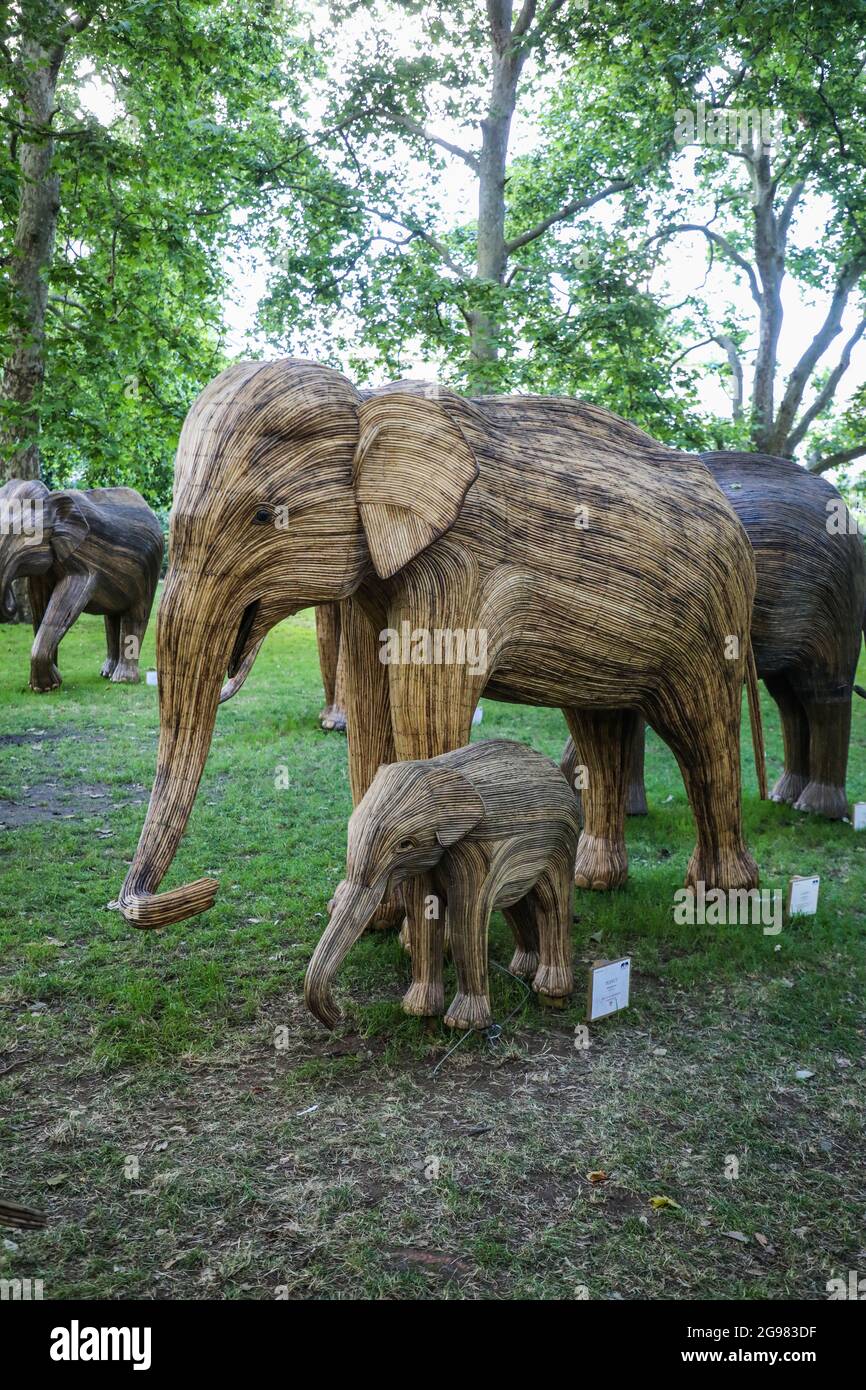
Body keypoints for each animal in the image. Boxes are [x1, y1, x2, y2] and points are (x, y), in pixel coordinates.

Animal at [0, 478, 163, 691]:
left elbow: (66, 601)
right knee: (112, 619)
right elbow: (40, 605)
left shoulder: (83, 559)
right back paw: (106, 674)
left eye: (20, 533)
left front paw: (46, 685)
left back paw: (122, 680)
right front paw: (50, 685)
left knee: (135, 615)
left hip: (149, 569)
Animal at [305, 739, 580, 1030]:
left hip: (561, 844)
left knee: (553, 903)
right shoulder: (425, 864)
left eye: (405, 844)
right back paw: (523, 971)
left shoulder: (473, 851)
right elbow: (422, 915)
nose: (338, 1016)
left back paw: (551, 993)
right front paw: (419, 1012)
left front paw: (463, 1025)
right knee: (515, 905)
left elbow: (465, 918)